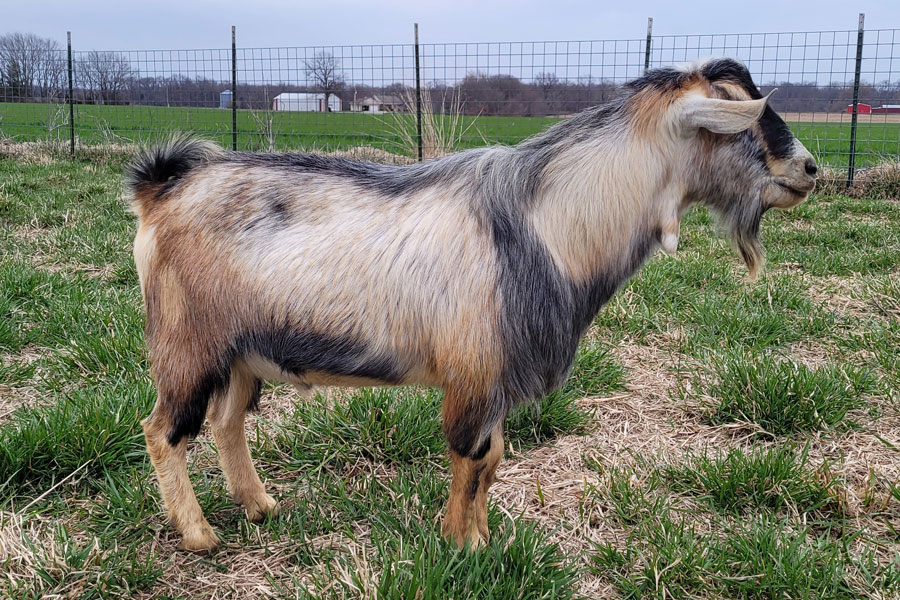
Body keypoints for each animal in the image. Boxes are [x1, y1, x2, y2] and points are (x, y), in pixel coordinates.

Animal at [128, 58, 817, 553]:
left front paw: (480, 539)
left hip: (243, 351)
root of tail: (162, 189)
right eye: (738, 116)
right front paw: (462, 546)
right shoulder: (475, 370)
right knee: (163, 430)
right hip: (188, 342)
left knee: (226, 422)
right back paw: (198, 535)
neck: (546, 225)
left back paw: (261, 506)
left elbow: (494, 458)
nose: (810, 169)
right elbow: (472, 455)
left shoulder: (496, 378)